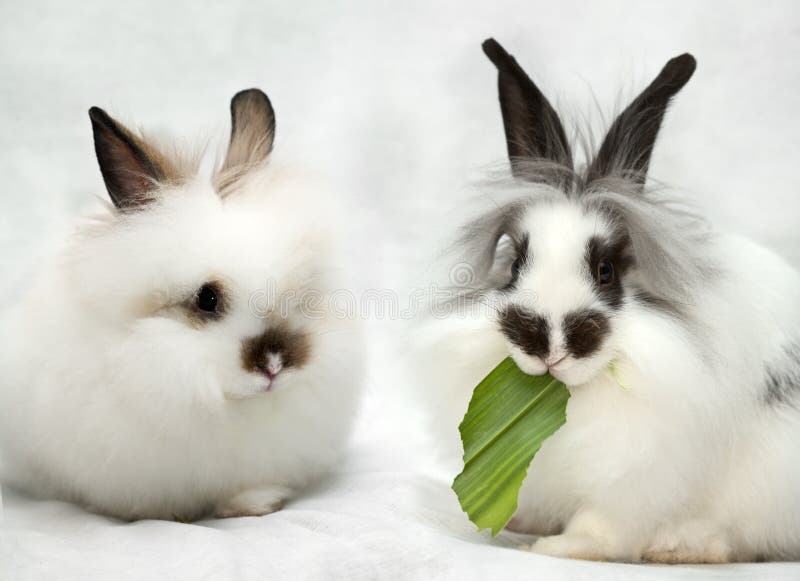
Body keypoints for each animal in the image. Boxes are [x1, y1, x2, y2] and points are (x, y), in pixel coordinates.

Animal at [416, 38, 800, 563]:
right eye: (515, 264)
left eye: (606, 271)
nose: (546, 343)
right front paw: (523, 520)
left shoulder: (633, 476)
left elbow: (604, 527)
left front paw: (557, 547)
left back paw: (682, 547)